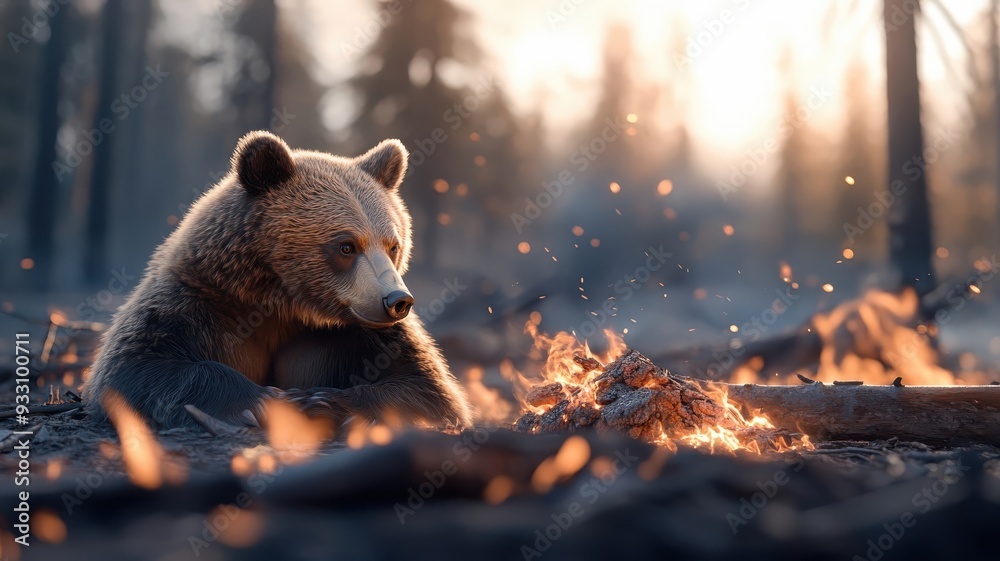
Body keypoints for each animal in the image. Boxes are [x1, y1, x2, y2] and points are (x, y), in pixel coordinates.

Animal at [82, 131, 472, 431]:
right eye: (346, 245)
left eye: (392, 245)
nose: (396, 300)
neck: (282, 302)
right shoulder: (196, 301)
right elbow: (133, 367)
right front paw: (259, 401)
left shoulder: (360, 334)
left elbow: (428, 388)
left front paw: (321, 400)